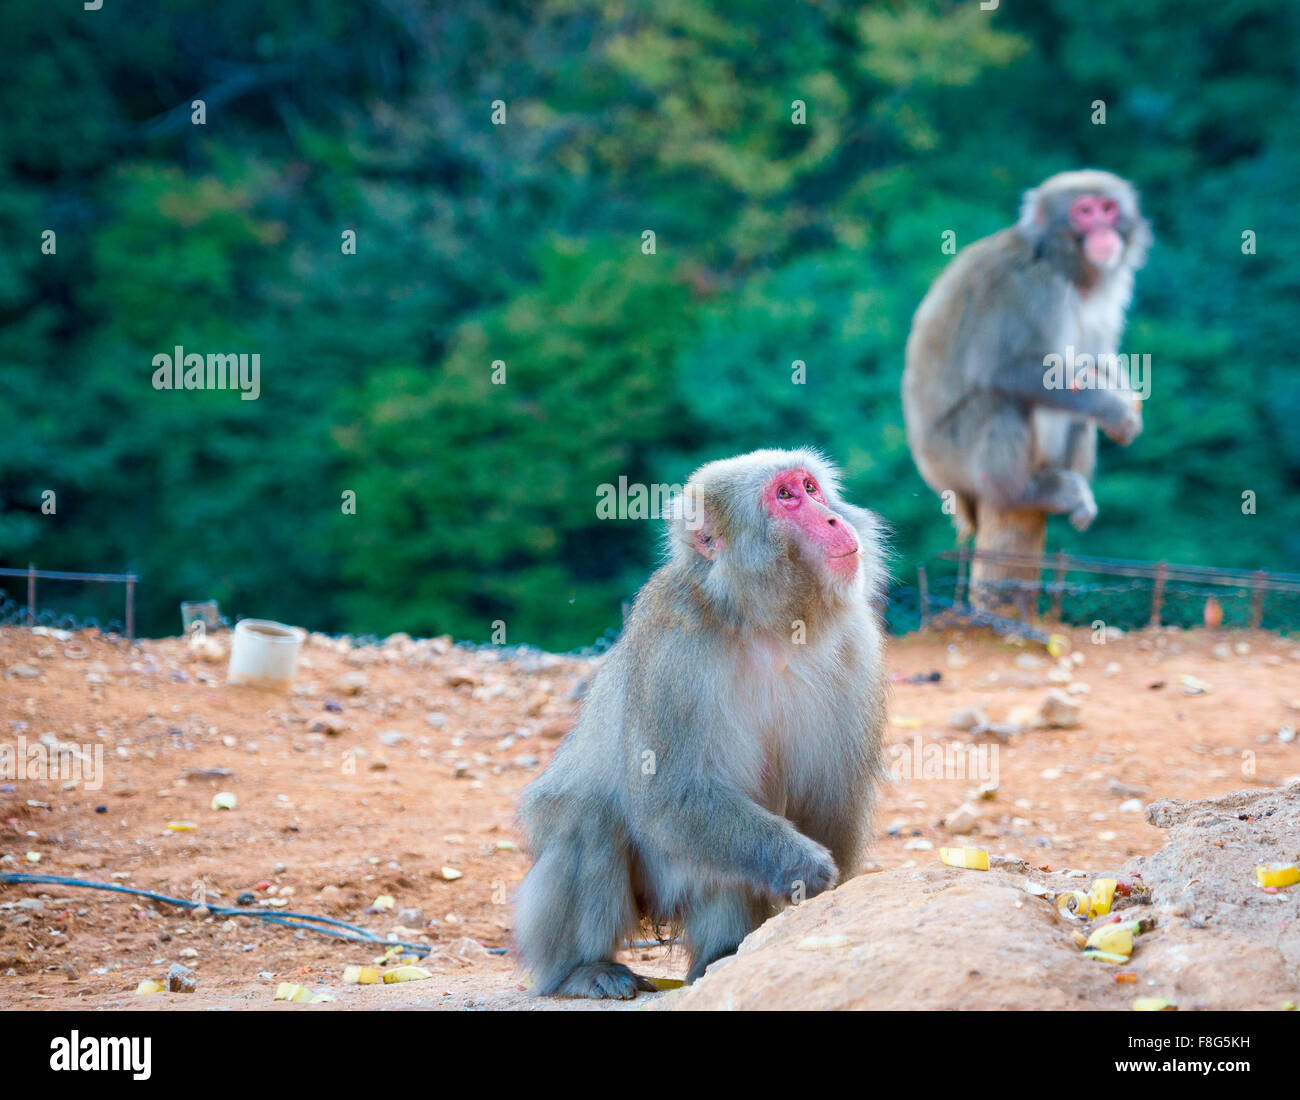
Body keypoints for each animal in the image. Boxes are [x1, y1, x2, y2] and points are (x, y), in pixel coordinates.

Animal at [514, 449, 887, 998]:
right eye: (785, 497)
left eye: (810, 488)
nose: (834, 520)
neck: (769, 625)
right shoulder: (675, 644)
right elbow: (670, 795)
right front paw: (804, 867)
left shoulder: (856, 643)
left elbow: (833, 799)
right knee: (589, 816)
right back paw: (581, 969)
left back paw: (719, 956)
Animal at [902, 169, 1152, 537]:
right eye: (1084, 212)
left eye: (1108, 209)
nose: (1103, 231)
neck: (1061, 265)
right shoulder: (1027, 287)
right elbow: (1004, 368)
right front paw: (1114, 408)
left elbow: (1096, 357)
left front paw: (1123, 399)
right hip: (953, 461)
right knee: (1003, 402)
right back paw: (1020, 494)